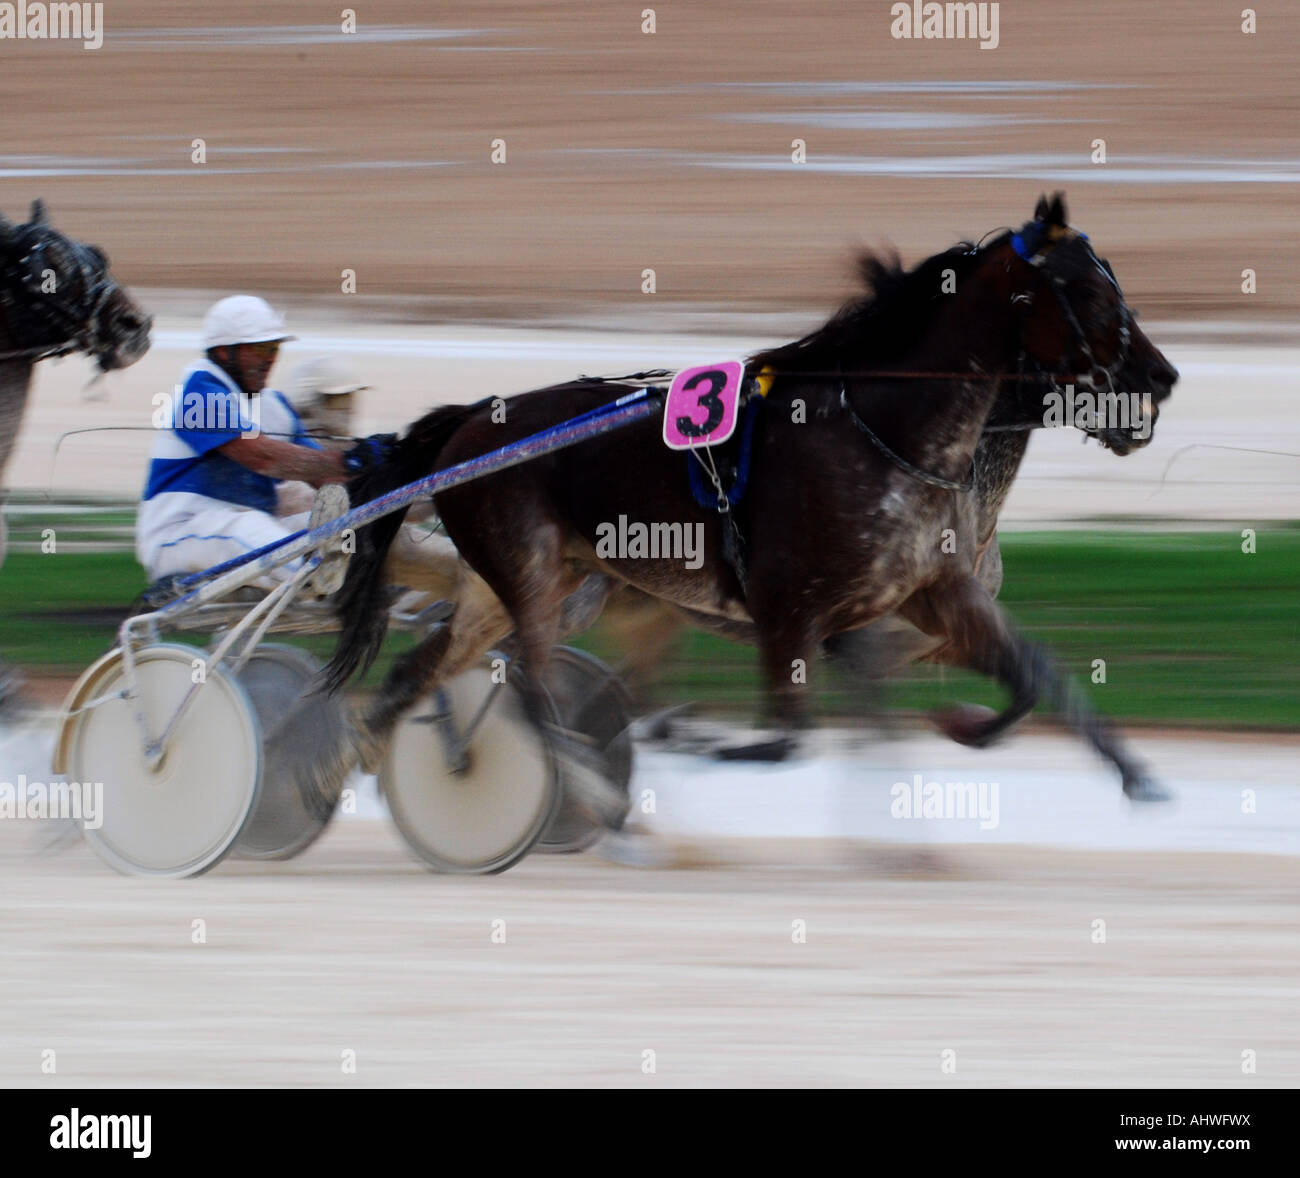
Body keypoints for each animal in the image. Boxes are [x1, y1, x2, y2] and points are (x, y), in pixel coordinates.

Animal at [323, 193, 1178, 807]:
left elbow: (1036, 677)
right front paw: (693, 748)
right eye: (1090, 294)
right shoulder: (794, 613)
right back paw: (596, 785)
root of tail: (470, 418)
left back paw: (354, 760)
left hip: (517, 588)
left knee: (423, 670)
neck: (886, 433)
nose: (1164, 376)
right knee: (534, 690)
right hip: (532, 576)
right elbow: (785, 739)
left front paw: (1125, 771)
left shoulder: (930, 595)